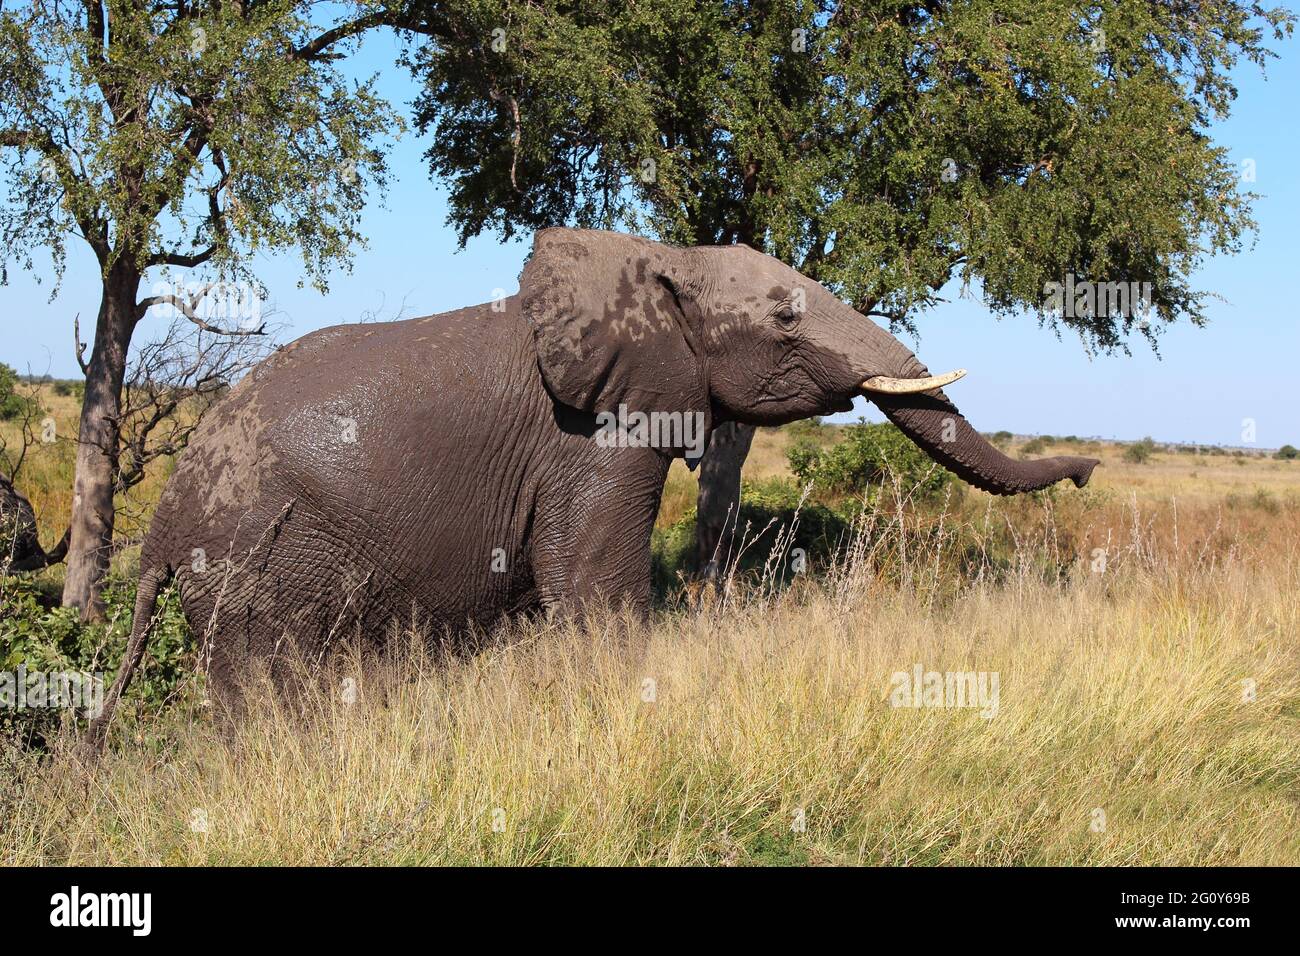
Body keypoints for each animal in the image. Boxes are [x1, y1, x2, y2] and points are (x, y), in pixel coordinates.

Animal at [90, 227, 1097, 737]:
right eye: (783, 318)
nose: (1088, 471)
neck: (660, 266)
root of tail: (162, 524)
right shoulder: (598, 436)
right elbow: (592, 582)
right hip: (249, 565)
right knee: (269, 685)